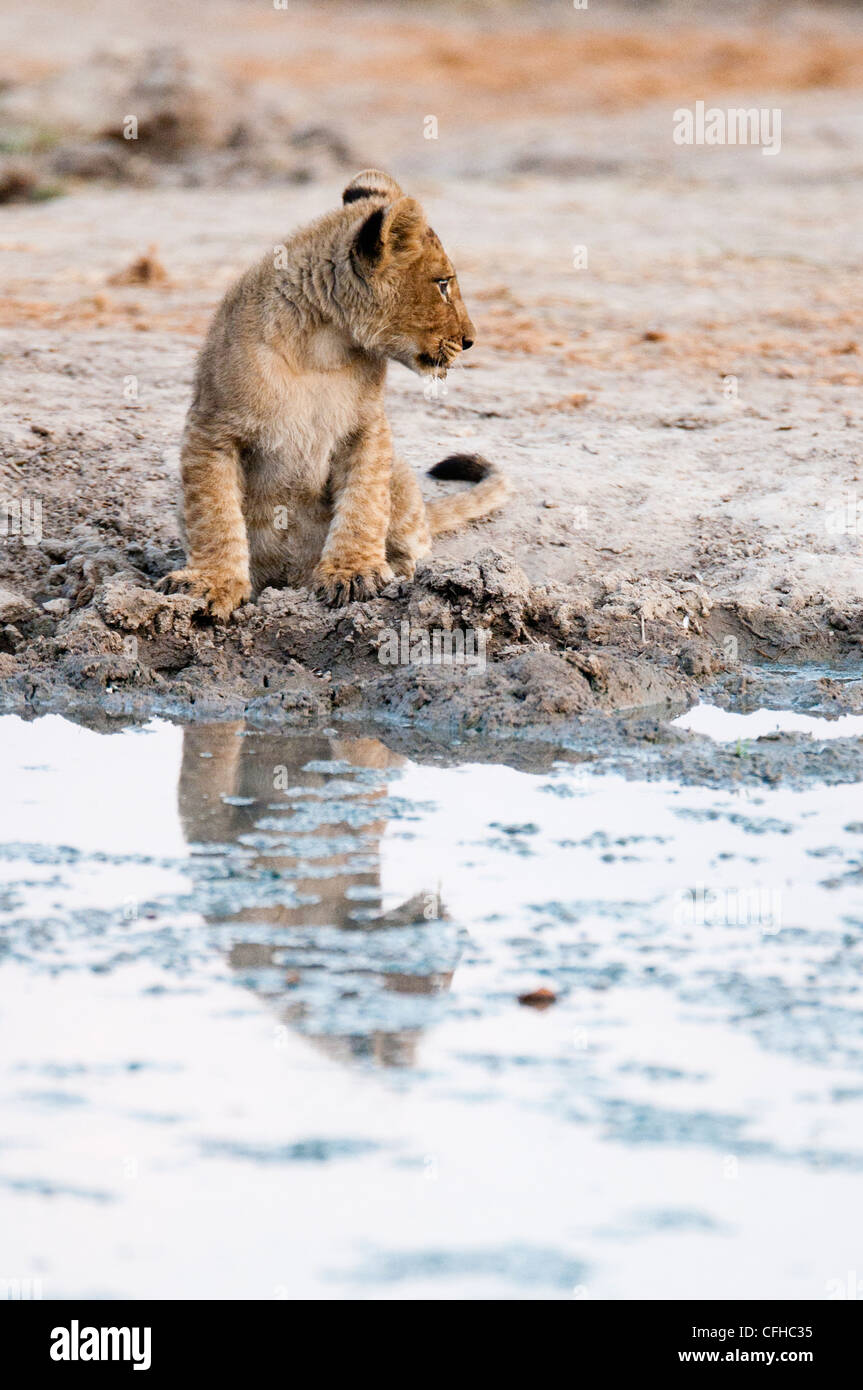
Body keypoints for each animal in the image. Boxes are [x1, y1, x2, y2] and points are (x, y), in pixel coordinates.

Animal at [161, 168, 511, 615]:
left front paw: (355, 573)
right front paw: (211, 583)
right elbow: (214, 513)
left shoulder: (367, 427)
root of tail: (288, 579)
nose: (470, 341)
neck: (322, 342)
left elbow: (364, 502)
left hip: (401, 478)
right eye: (443, 284)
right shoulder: (211, 429)